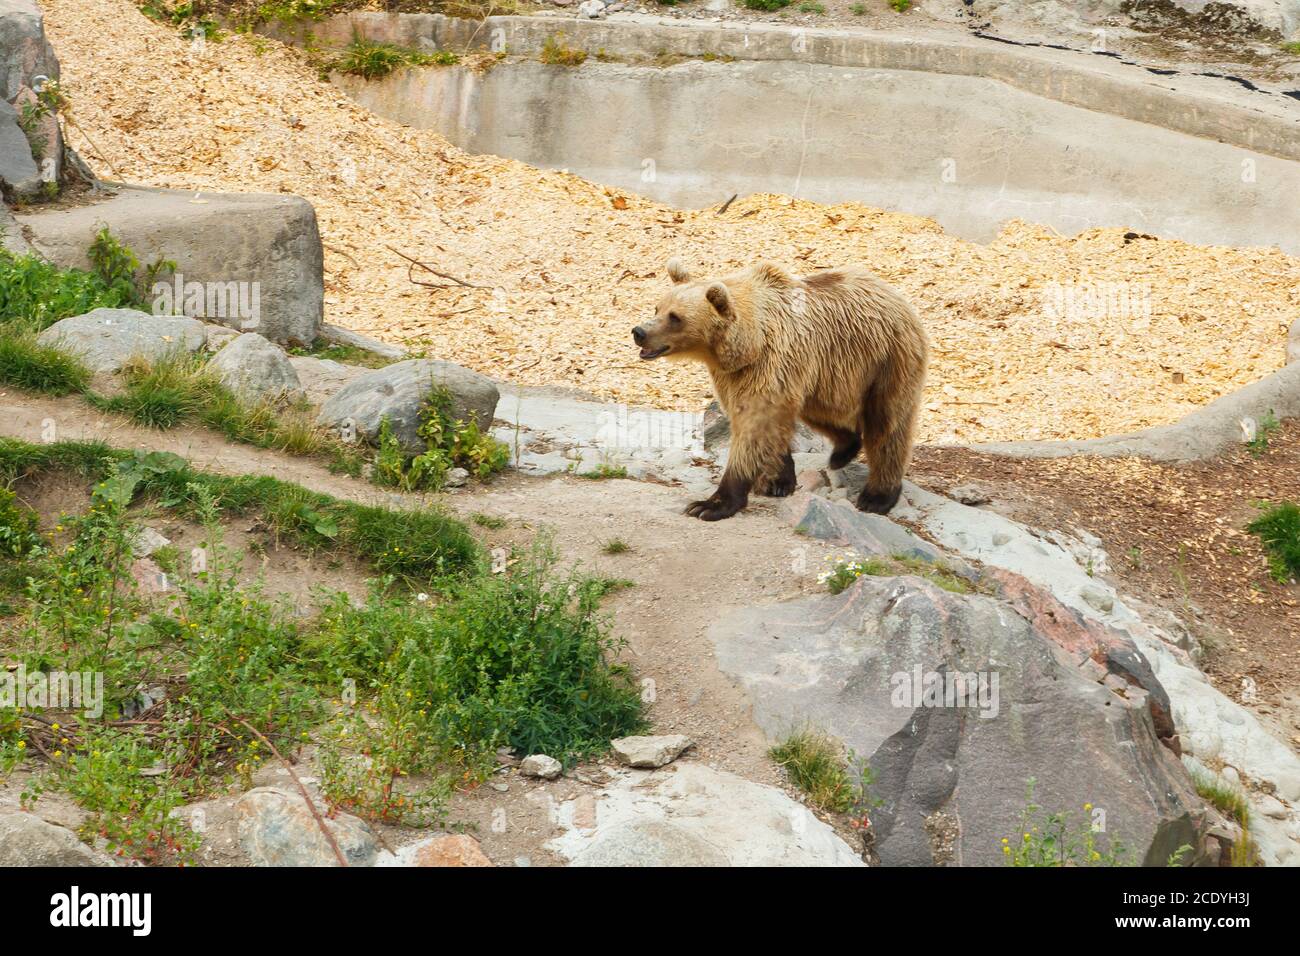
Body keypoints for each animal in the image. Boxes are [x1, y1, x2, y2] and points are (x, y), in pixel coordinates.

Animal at [632, 258, 928, 521]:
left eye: (675, 317)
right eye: (657, 307)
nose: (639, 332)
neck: (744, 345)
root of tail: (896, 295)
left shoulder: (771, 362)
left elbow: (755, 424)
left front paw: (709, 505)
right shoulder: (737, 376)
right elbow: (765, 422)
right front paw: (777, 481)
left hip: (887, 359)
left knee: (888, 424)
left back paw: (878, 496)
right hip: (826, 376)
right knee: (821, 411)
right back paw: (842, 451)